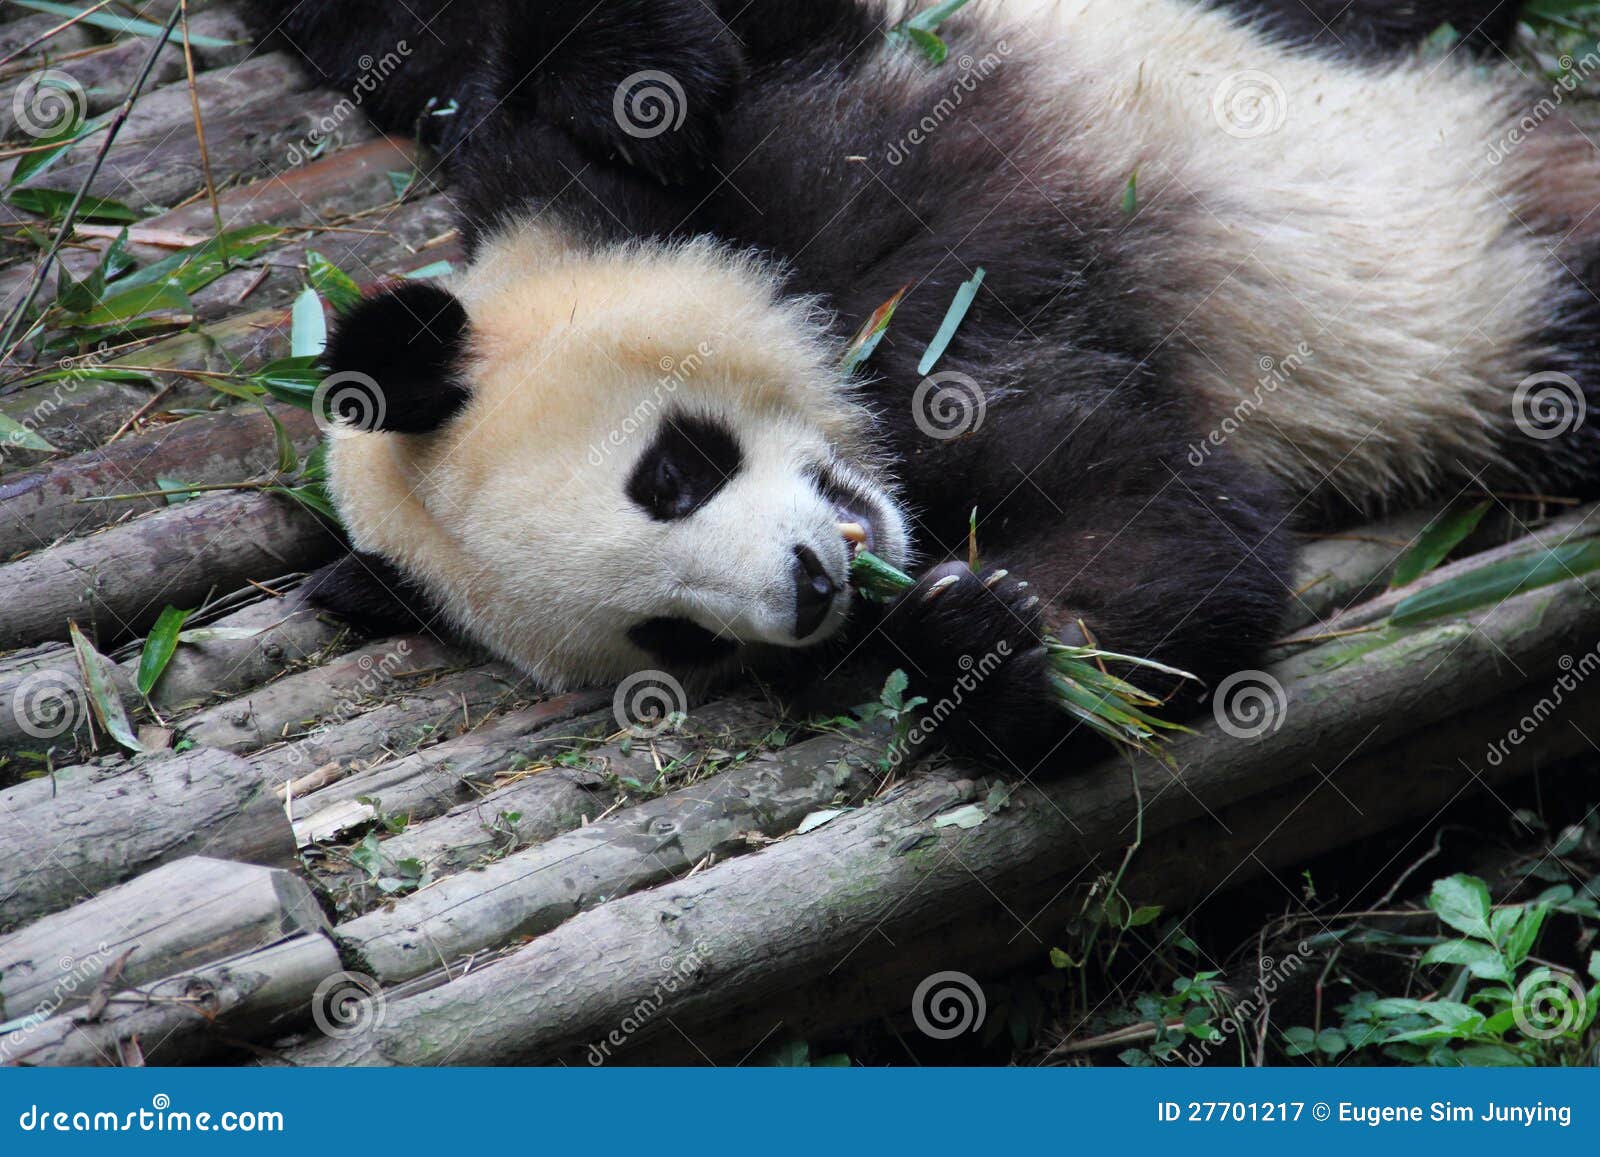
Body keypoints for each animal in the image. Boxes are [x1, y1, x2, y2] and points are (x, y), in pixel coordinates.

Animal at [249, 0, 1599, 770]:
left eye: (671, 473)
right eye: (674, 635)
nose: (810, 585)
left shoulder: (662, 175)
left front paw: (633, 81)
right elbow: (1165, 515)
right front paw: (982, 642)